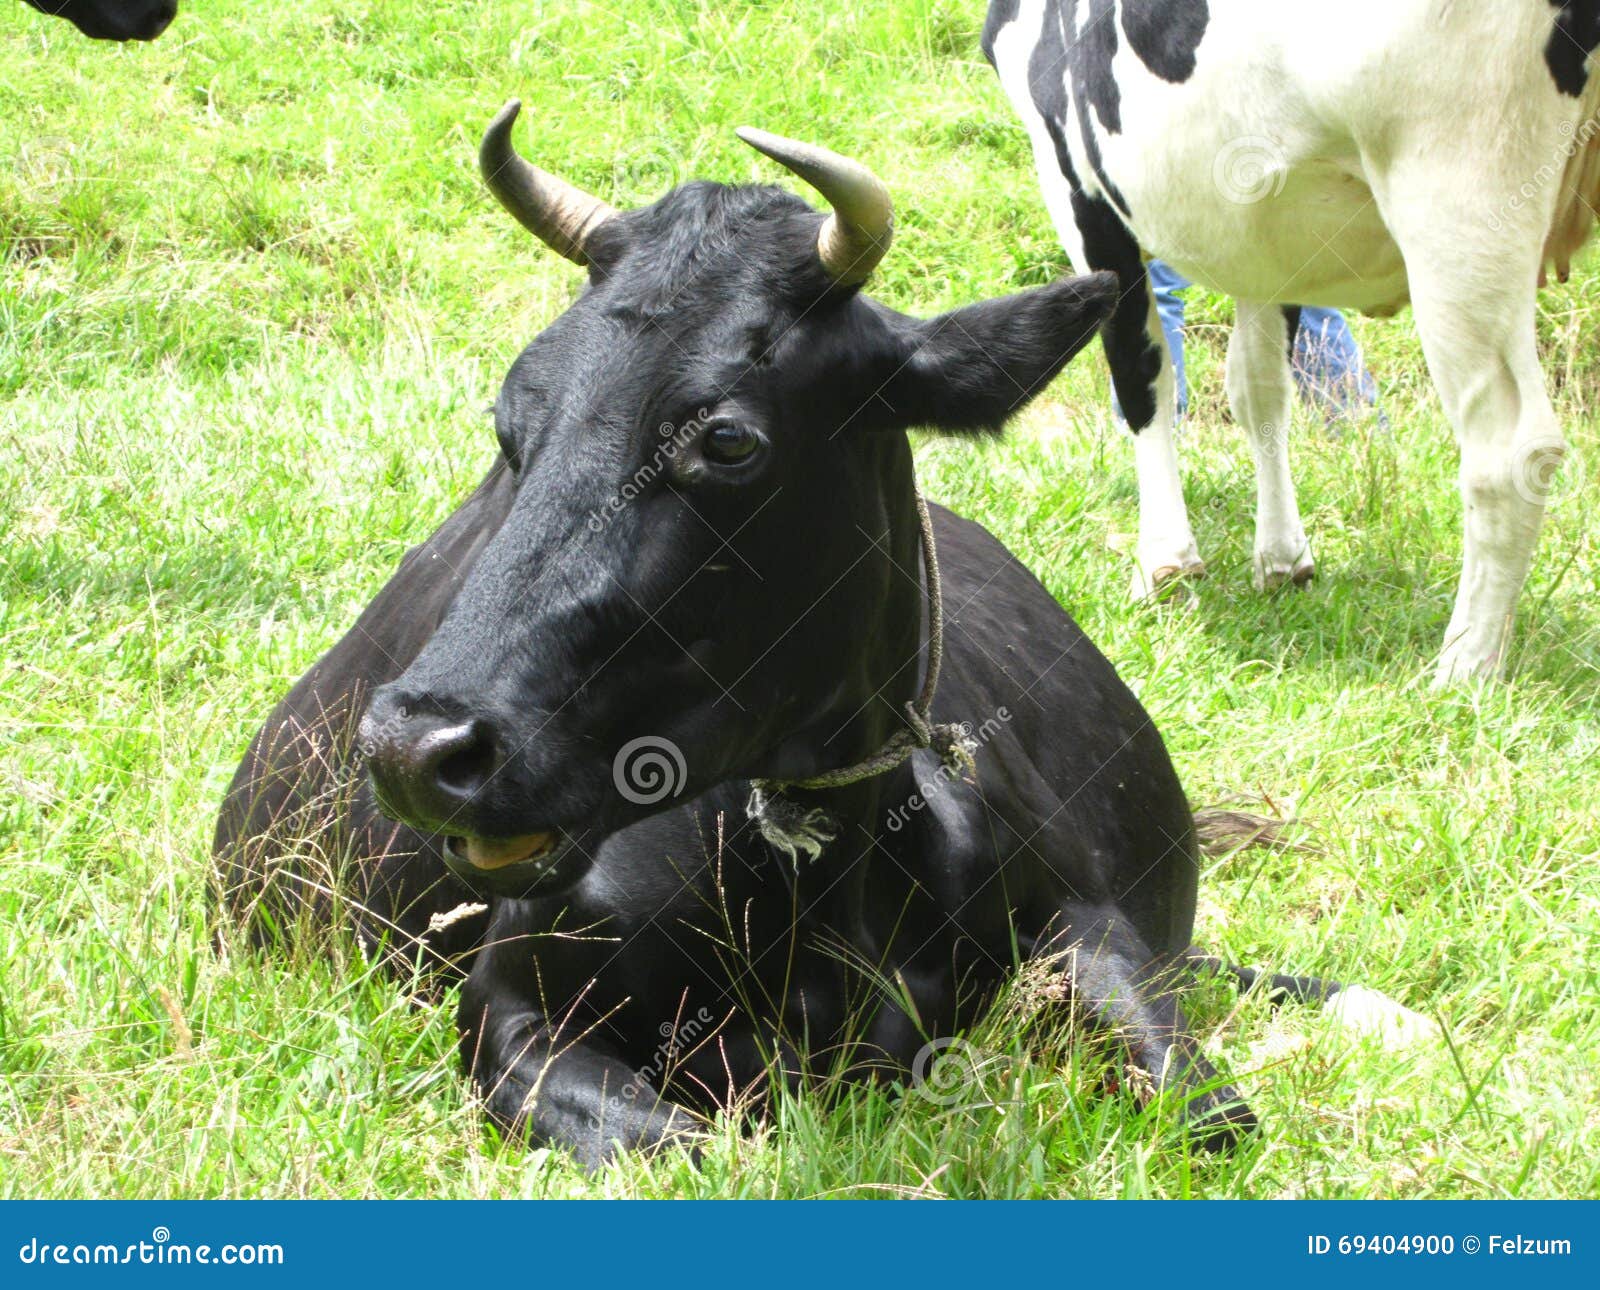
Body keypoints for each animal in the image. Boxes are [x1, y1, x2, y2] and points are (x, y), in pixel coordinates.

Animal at [215, 102, 1389, 1169]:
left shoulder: (1085, 919)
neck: (822, 901)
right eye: (513, 420)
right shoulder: (510, 1005)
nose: (416, 748)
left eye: (727, 439)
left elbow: (1210, 1115)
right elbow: (690, 1148)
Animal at [983, 0, 1600, 685]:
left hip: (1459, 191)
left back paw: (1463, 669)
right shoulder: (1265, 242)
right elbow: (1259, 389)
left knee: (1511, 452)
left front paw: (1166, 562)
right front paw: (1282, 558)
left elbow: (1143, 380)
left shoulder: (1079, 189)